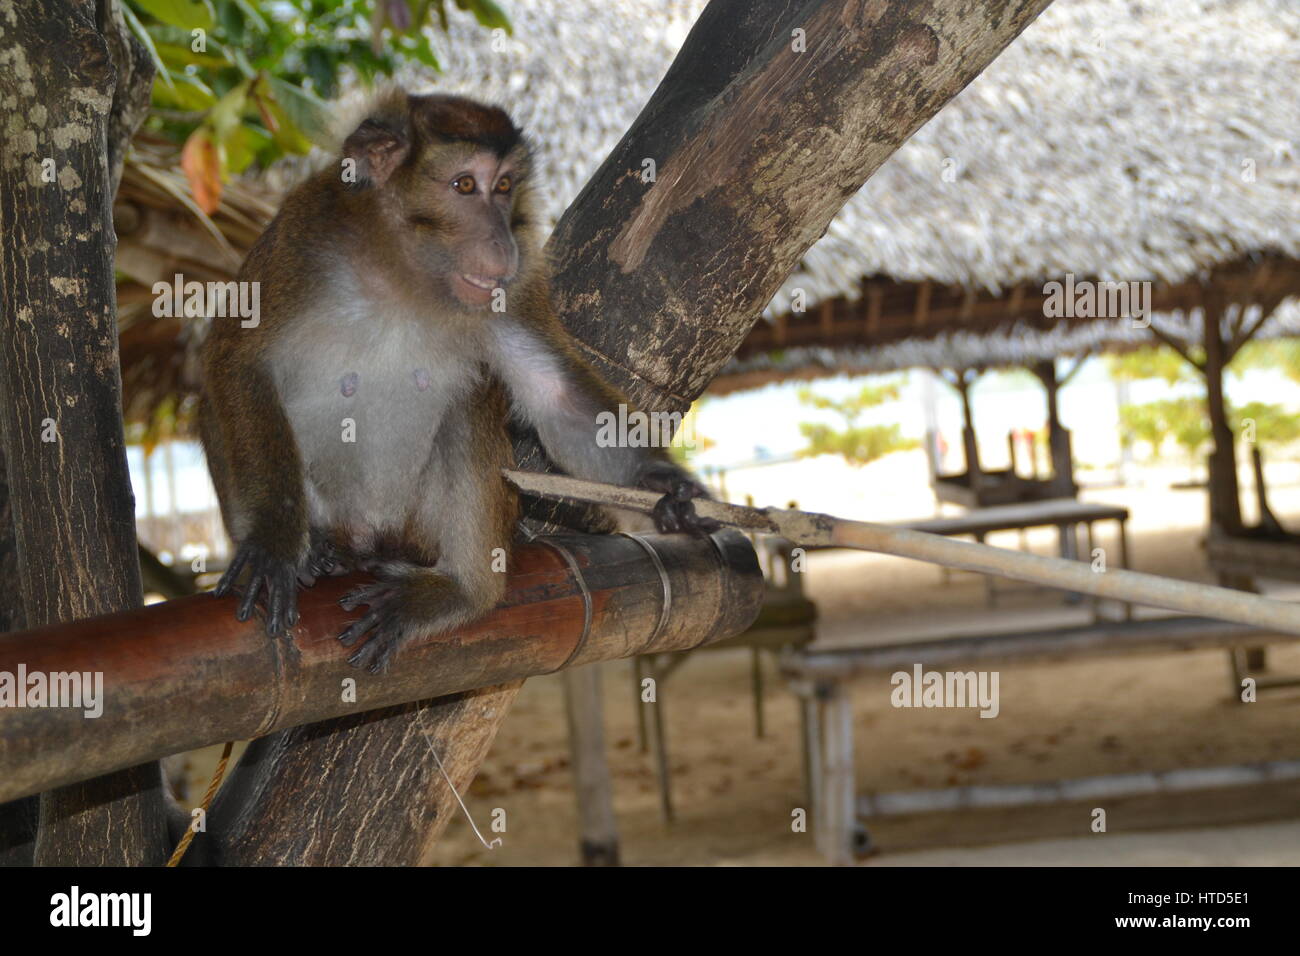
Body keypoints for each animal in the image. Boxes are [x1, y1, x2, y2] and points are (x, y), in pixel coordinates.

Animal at [198, 88, 717, 673]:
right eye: (465, 185)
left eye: (505, 186)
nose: (502, 241)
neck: (402, 274)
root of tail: (371, 537)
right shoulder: (301, 240)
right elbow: (238, 362)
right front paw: (275, 542)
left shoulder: (515, 286)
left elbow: (556, 397)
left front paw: (664, 484)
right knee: (215, 410)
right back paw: (321, 549)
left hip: (418, 528)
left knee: (471, 403)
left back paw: (462, 591)